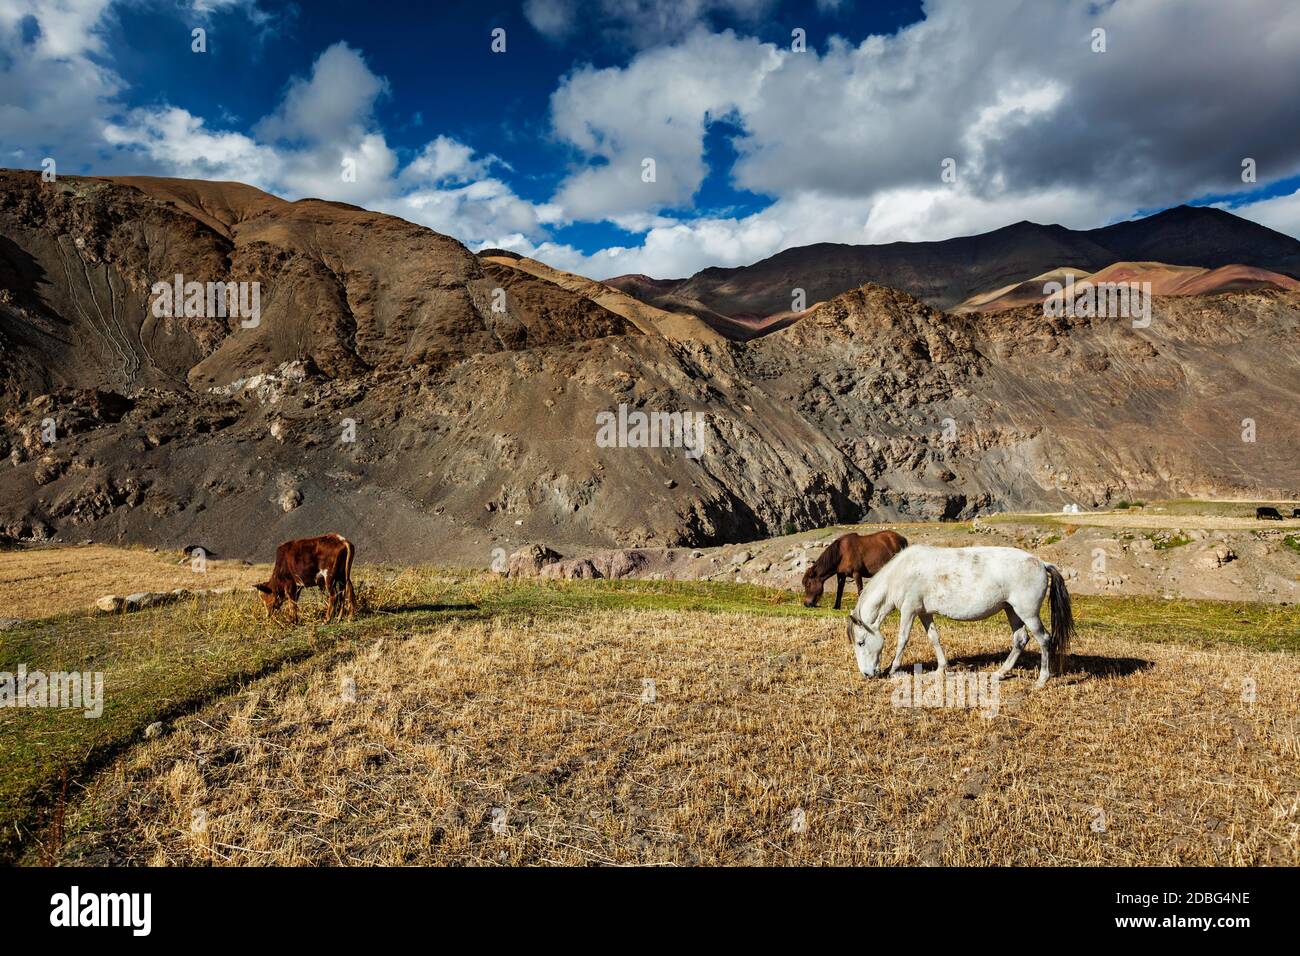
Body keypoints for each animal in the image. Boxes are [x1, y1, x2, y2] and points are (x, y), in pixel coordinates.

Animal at [845, 545, 1074, 688]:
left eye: (861, 642)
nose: (867, 674)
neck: (901, 573)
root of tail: (1041, 563)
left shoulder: (909, 610)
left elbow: (902, 639)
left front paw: (893, 669)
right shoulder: (924, 612)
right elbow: (934, 638)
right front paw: (940, 669)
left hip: (1028, 613)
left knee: (1044, 639)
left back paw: (1042, 680)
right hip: (1012, 610)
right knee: (1020, 639)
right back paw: (1000, 673)